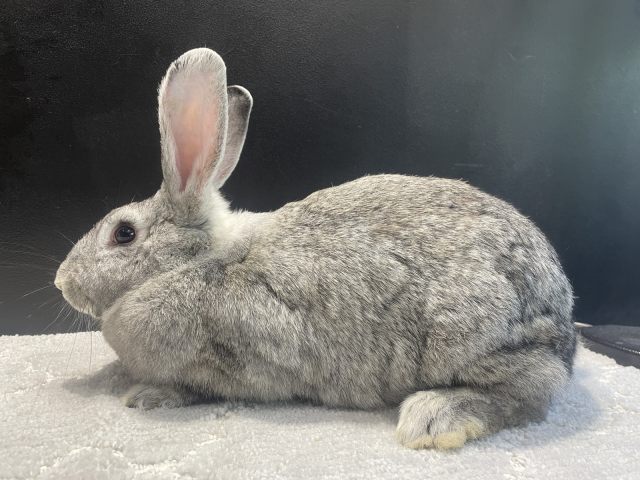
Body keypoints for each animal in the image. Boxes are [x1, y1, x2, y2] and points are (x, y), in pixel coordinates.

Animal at [54, 48, 576, 450]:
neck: (197, 260)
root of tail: (563, 322)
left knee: (527, 393)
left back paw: (434, 418)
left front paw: (147, 396)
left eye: (124, 233)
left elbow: (201, 389)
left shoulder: (237, 362)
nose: (62, 281)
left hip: (469, 340)